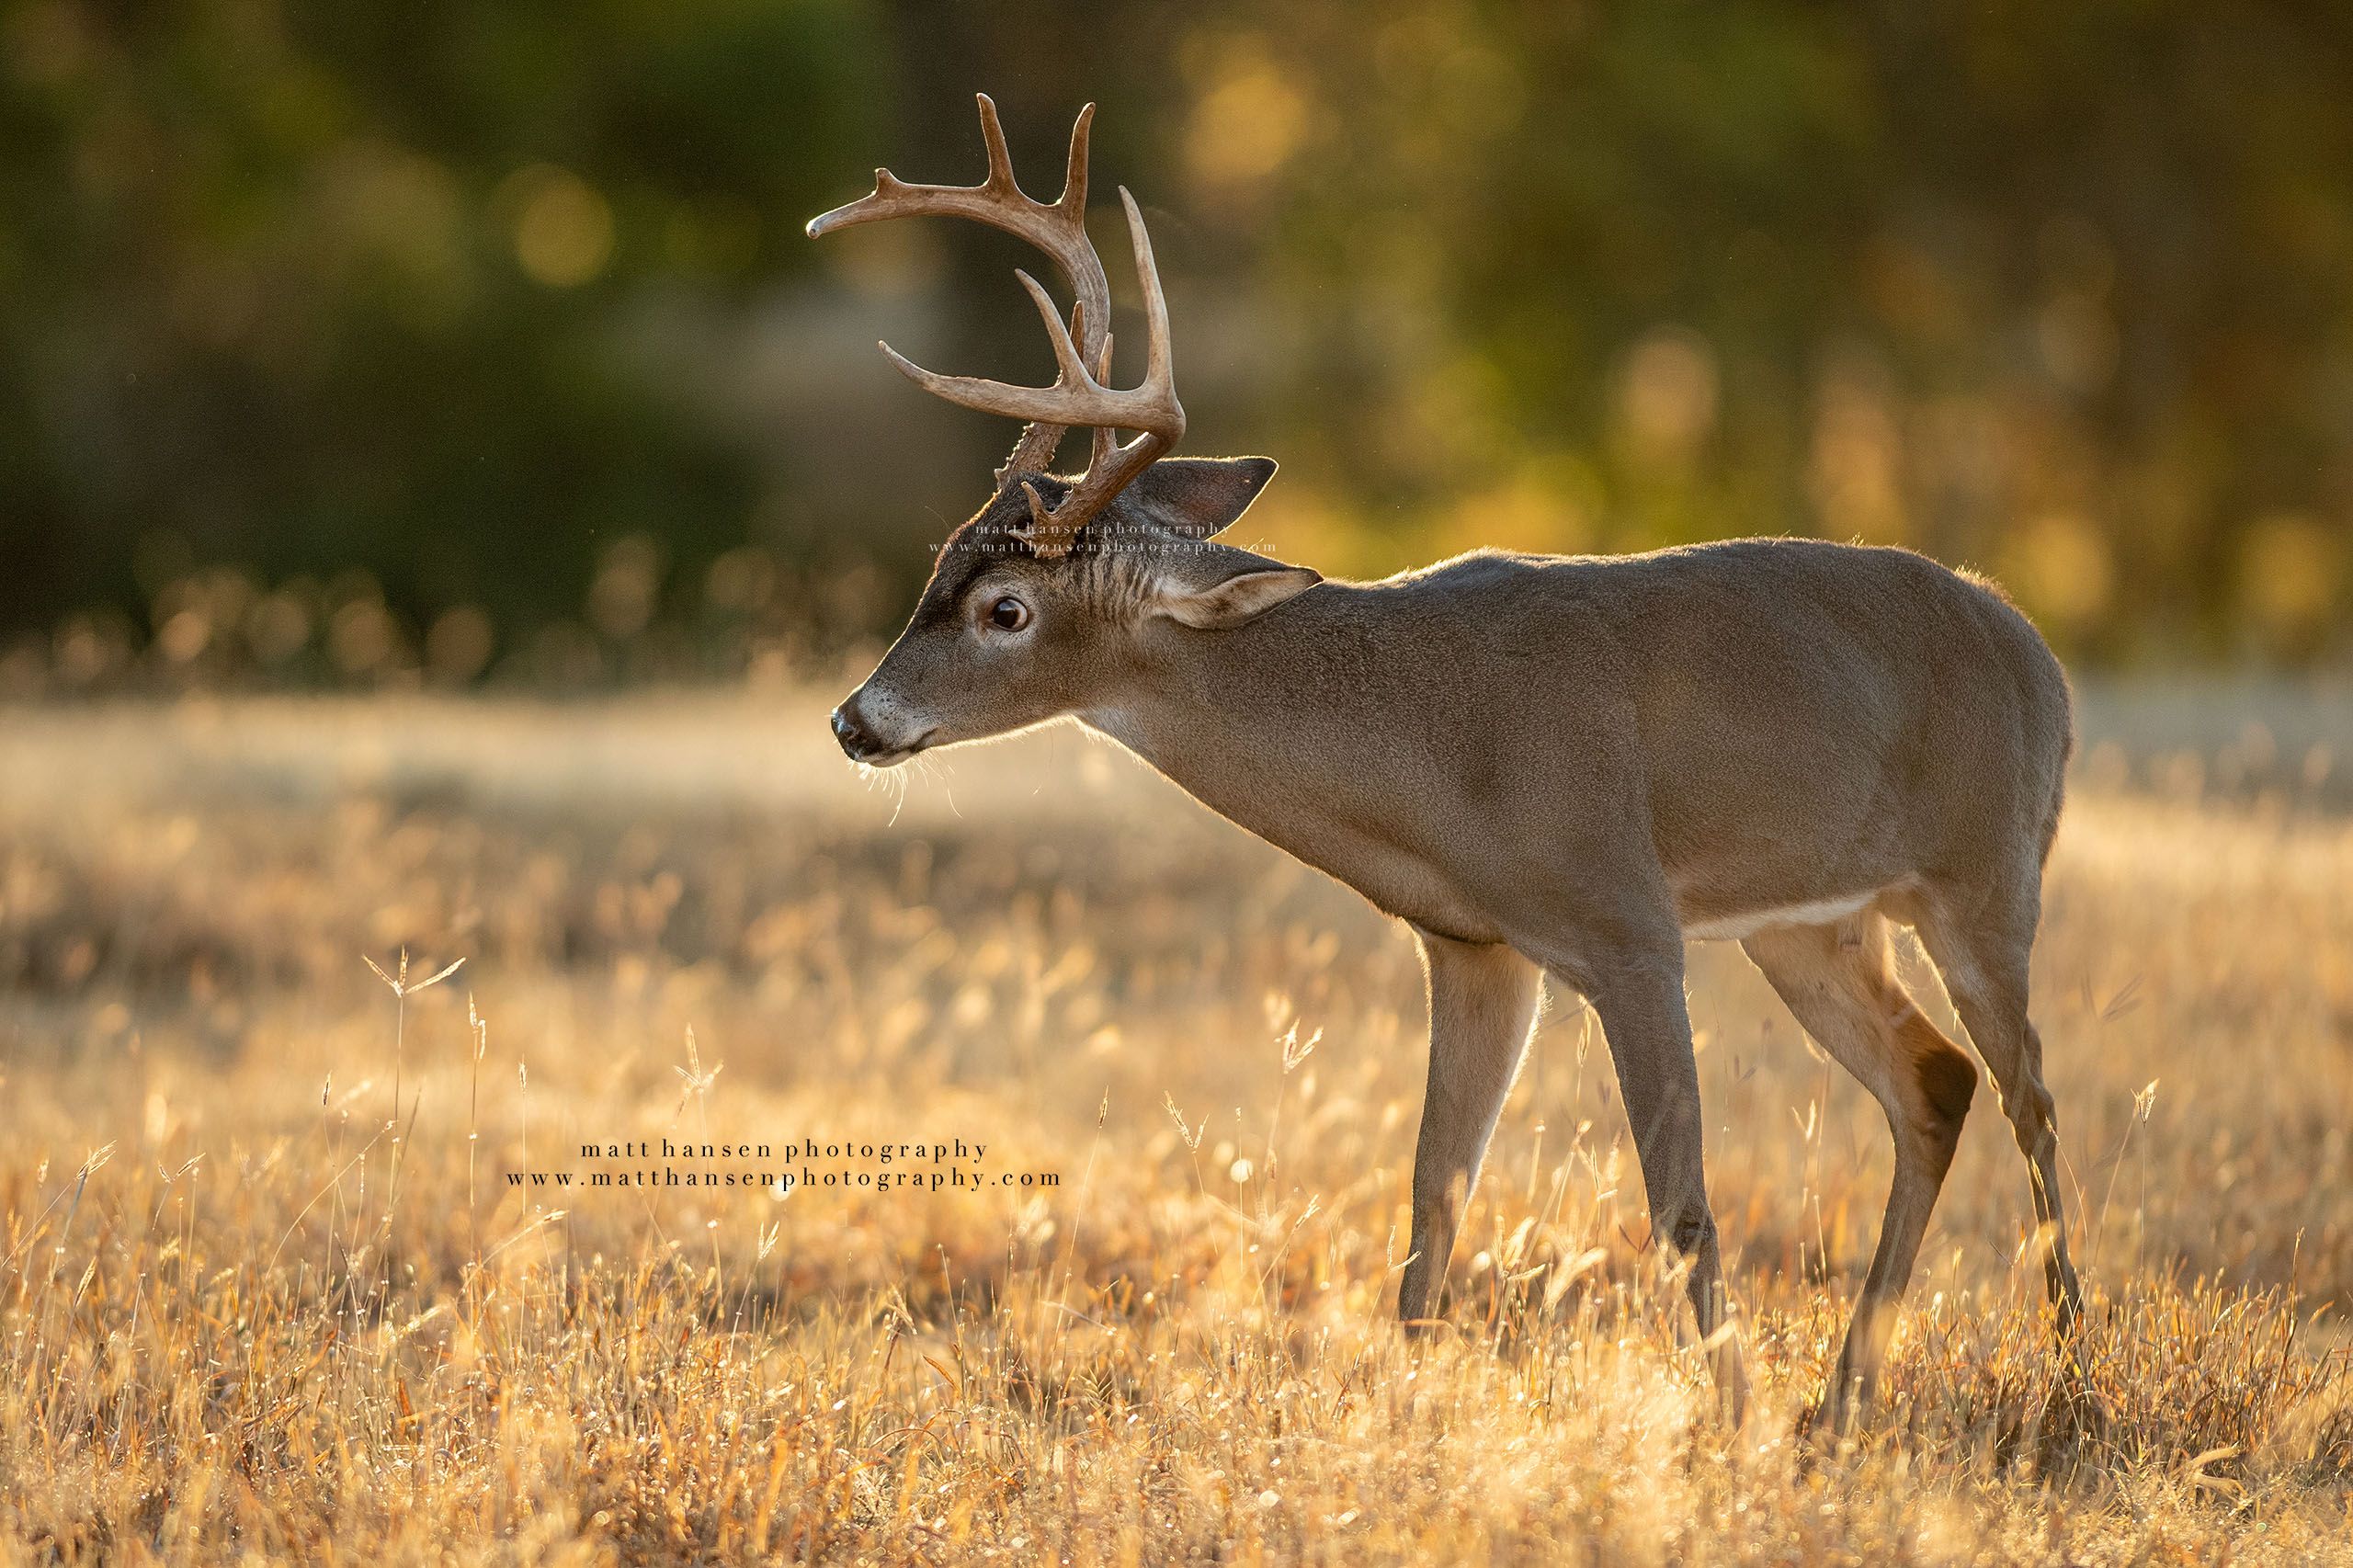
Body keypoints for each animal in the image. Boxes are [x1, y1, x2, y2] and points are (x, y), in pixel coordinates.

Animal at [808, 95, 2084, 1430]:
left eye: (1004, 609)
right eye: (937, 561)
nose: (855, 720)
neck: (1428, 750)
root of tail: (2035, 649)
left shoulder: (1627, 920)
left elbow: (1679, 1201)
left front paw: (1728, 1418)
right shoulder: (1475, 947)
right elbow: (1433, 1195)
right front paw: (1404, 1407)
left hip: (1986, 873)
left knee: (2033, 1096)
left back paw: (2068, 1370)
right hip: (1811, 924)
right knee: (1935, 1081)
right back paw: (1841, 1397)